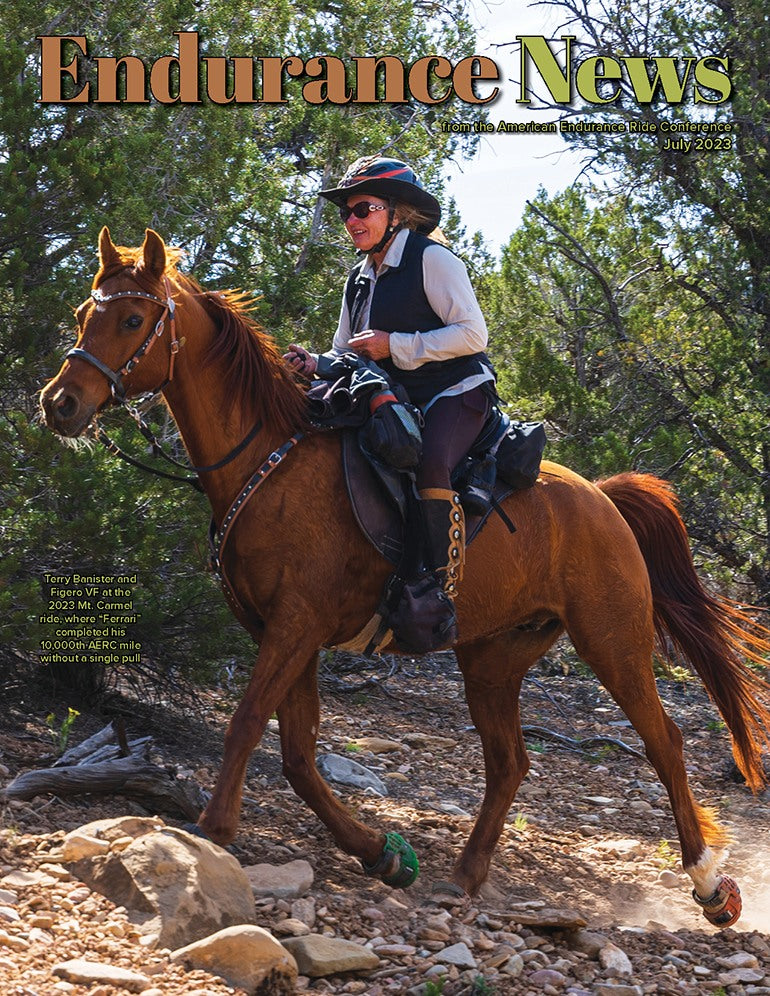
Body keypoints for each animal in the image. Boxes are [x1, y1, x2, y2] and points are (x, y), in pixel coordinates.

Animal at [40, 227, 770, 928]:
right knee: (510, 762)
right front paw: (382, 854)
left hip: (611, 640)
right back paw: (466, 875)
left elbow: (247, 722)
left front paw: (213, 830)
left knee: (663, 740)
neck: (268, 460)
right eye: (81, 315)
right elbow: (298, 755)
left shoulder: (295, 625)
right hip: (493, 658)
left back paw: (709, 885)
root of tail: (603, 498)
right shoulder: (287, 634)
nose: (61, 404)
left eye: (133, 319)